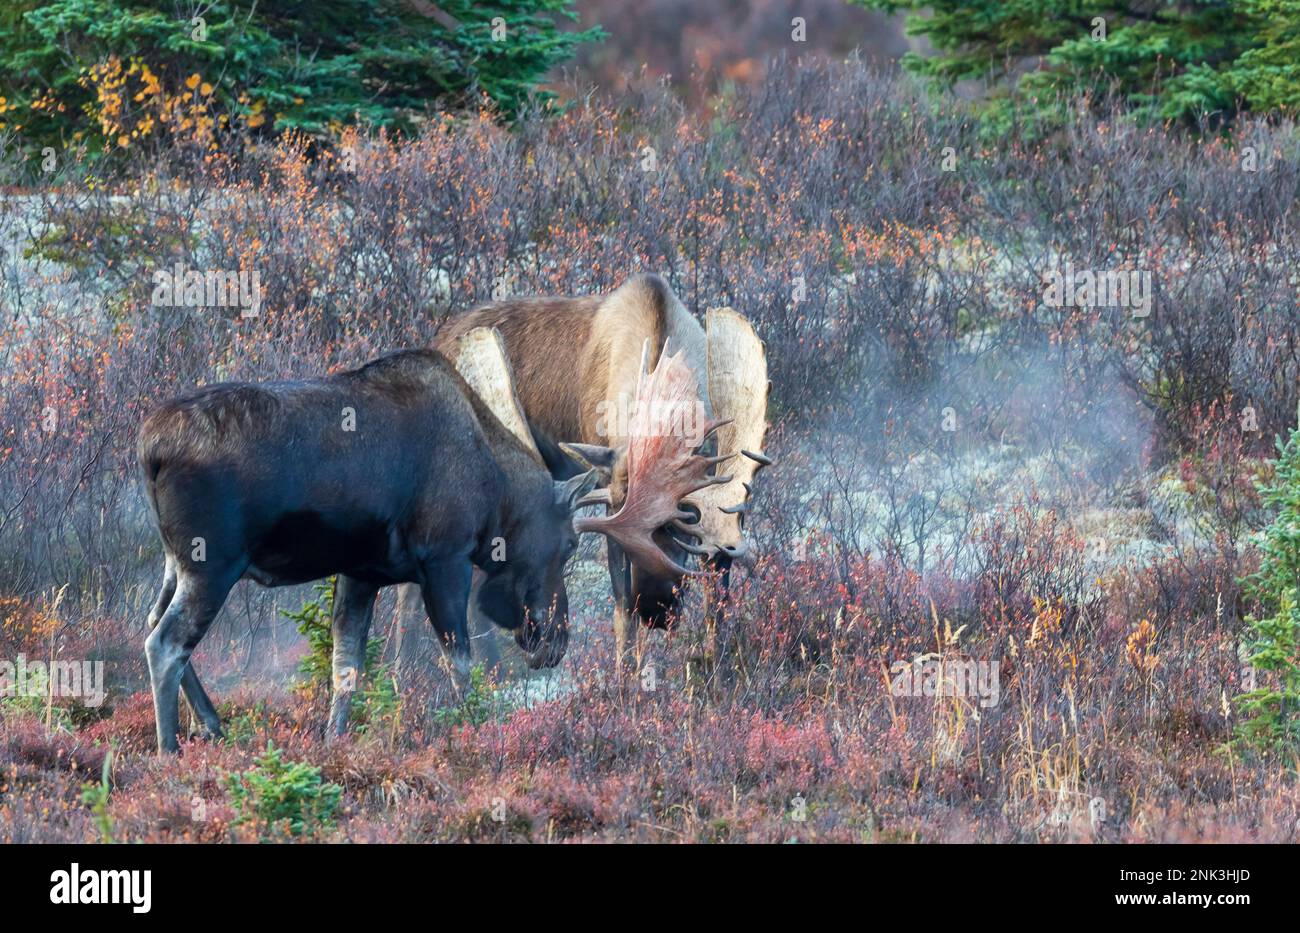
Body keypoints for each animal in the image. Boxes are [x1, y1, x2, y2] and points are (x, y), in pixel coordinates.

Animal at [135, 327, 656, 754]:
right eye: (568, 545)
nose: (556, 641)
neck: (497, 496)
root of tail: (148, 450)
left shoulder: (359, 574)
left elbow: (346, 666)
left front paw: (335, 741)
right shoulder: (446, 559)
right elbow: (458, 662)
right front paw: (473, 727)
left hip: (175, 564)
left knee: (154, 624)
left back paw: (212, 725)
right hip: (212, 565)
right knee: (165, 643)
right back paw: (169, 748)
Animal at [433, 273, 771, 675]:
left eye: (681, 521)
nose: (656, 608)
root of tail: (437, 337)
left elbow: (716, 602)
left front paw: (713, 667)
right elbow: (621, 606)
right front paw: (626, 679)